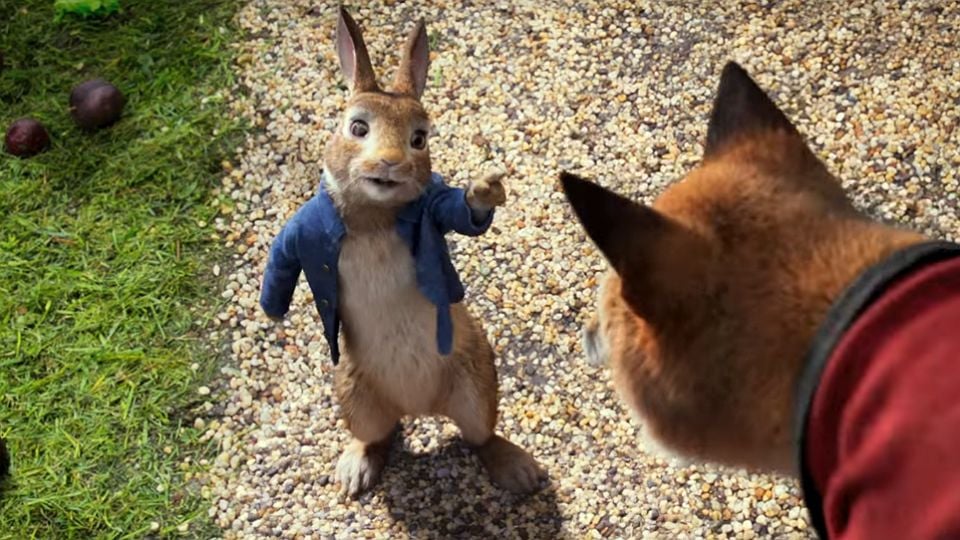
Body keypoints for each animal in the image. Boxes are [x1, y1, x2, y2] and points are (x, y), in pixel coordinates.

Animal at [259, 8, 545, 497]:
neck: (375, 214)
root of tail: (419, 408)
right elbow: (282, 260)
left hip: (475, 385)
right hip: (355, 394)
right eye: (357, 127)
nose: (390, 162)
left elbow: (459, 211)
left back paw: (518, 470)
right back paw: (355, 471)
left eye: (420, 138)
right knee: (376, 436)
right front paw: (273, 313)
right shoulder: (300, 231)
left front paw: (485, 191)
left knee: (481, 437)